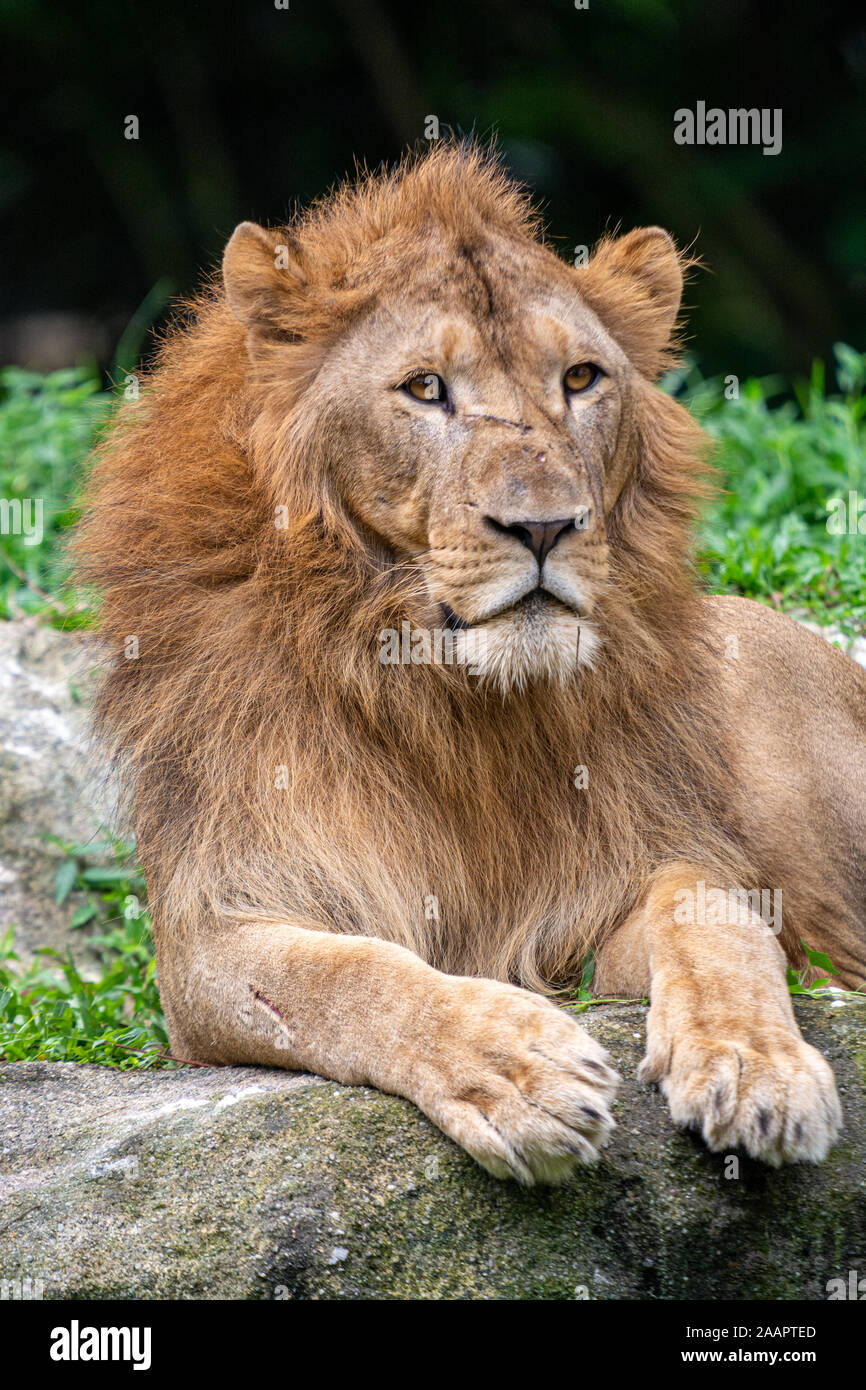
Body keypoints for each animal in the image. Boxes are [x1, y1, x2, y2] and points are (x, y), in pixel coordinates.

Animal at [74, 142, 865, 1184]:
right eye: (424, 389)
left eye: (581, 378)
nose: (544, 526)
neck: (450, 696)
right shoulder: (213, 931)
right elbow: (346, 977)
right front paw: (515, 1069)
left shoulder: (608, 896)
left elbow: (708, 909)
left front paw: (755, 1062)